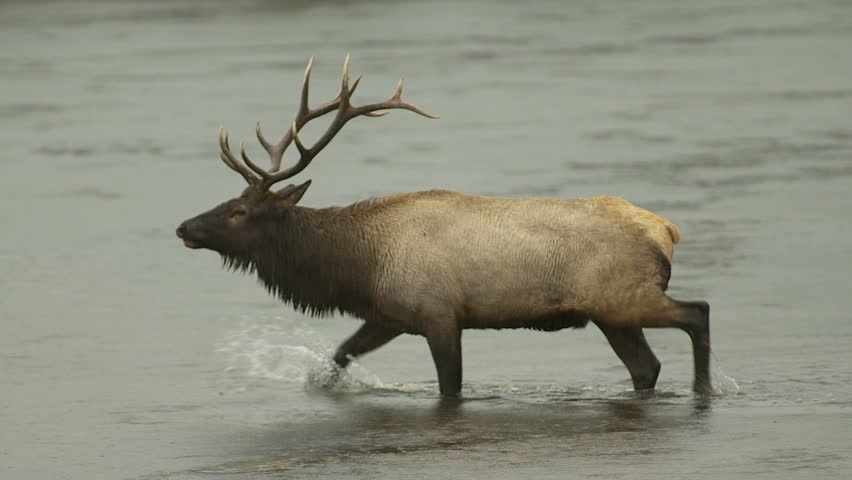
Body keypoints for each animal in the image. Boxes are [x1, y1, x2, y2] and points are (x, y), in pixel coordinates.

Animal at [176, 56, 712, 398]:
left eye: (239, 211)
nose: (183, 227)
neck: (358, 267)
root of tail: (666, 230)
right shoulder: (390, 314)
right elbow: (340, 355)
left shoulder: (439, 315)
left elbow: (450, 389)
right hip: (610, 312)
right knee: (647, 365)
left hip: (623, 296)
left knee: (697, 312)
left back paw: (703, 388)